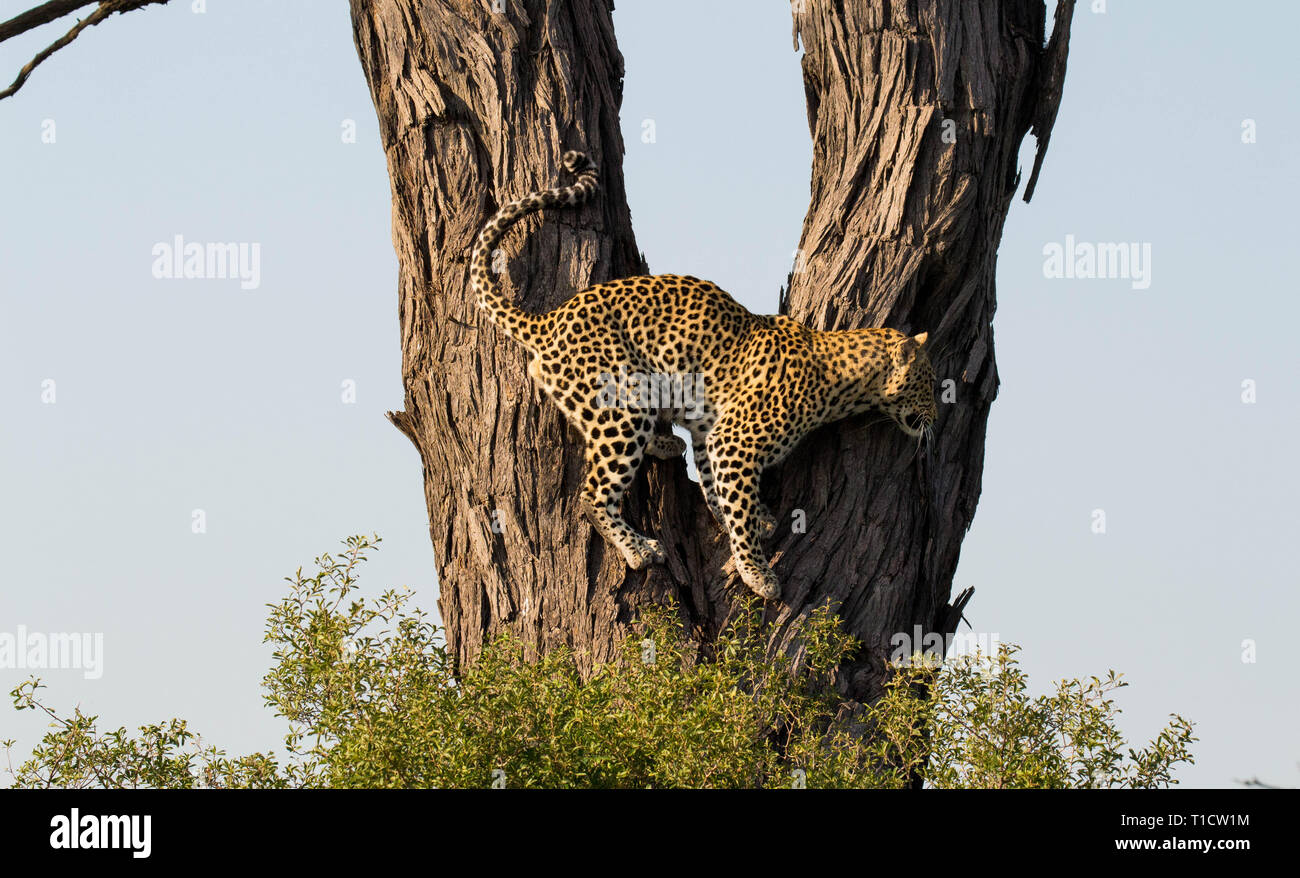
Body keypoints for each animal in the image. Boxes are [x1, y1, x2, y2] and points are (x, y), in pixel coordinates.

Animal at [470, 150, 937, 601]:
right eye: (930, 384)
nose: (936, 415)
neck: (839, 375)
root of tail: (549, 320)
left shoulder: (713, 436)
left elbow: (719, 492)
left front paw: (754, 519)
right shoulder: (735, 442)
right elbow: (737, 509)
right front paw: (757, 572)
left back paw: (664, 443)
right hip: (623, 403)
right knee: (592, 493)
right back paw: (638, 547)